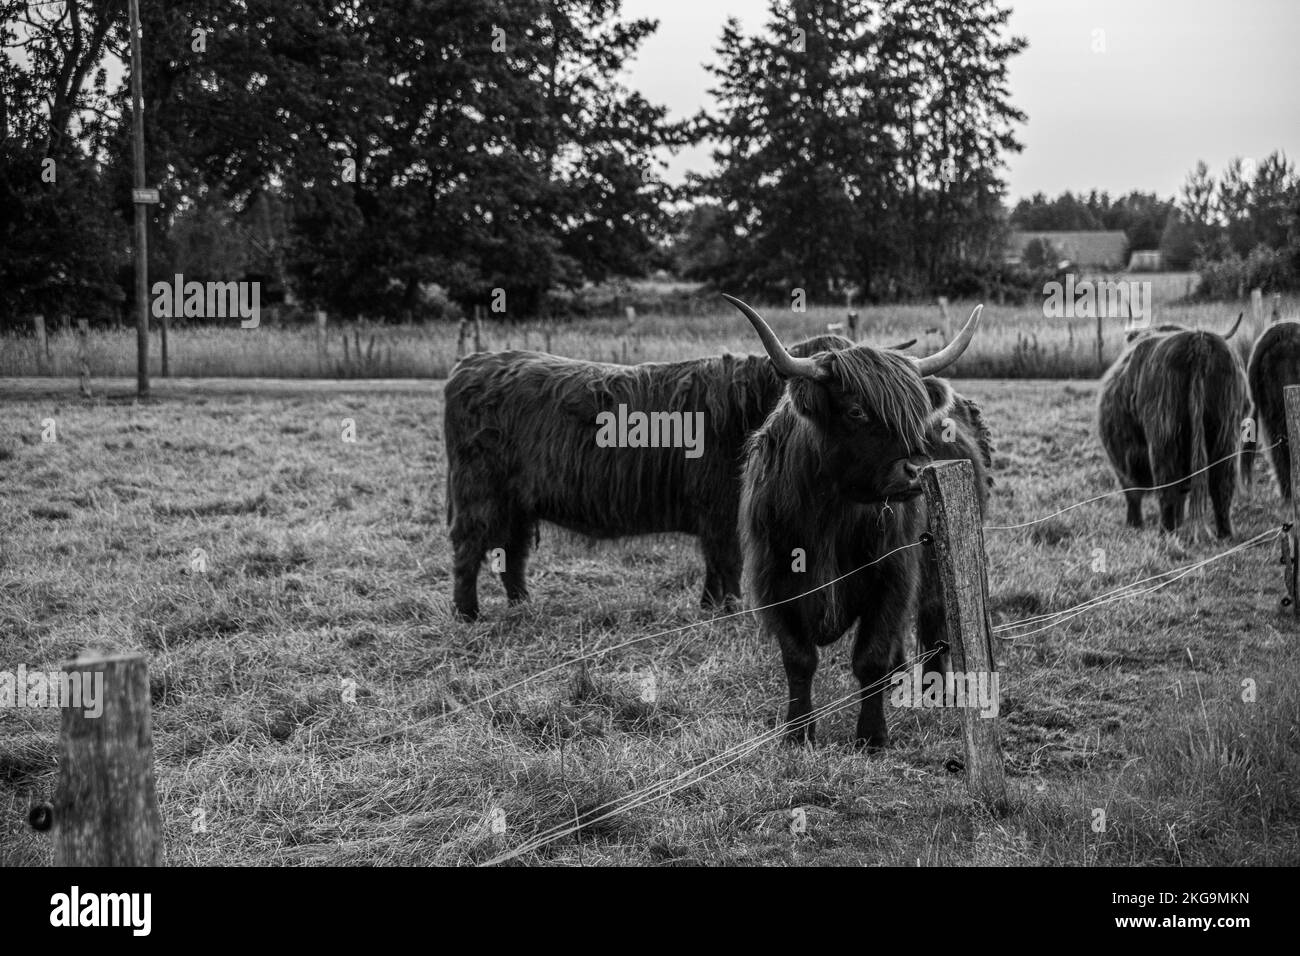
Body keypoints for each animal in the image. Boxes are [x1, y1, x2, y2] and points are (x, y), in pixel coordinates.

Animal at [444, 332, 924, 620]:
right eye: (856, 409)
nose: (914, 470)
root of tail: (470, 363)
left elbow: (715, 563)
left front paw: (709, 607)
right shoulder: (721, 510)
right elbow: (727, 561)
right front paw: (730, 610)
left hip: (518, 502)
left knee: (513, 551)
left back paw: (521, 606)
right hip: (478, 494)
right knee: (469, 548)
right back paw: (469, 615)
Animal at [731, 294, 984, 750]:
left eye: (917, 414)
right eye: (856, 411)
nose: (917, 470)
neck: (830, 512)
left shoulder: (893, 574)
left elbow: (871, 658)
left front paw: (872, 736)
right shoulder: (773, 580)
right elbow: (798, 660)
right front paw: (798, 732)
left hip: (942, 554)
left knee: (935, 617)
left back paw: (934, 691)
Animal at [1098, 322, 1248, 537]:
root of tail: (1198, 340)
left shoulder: (1123, 461)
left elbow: (1132, 493)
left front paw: (1134, 524)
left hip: (1164, 436)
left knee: (1167, 486)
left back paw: (1165, 532)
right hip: (1227, 435)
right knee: (1222, 486)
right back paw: (1225, 534)